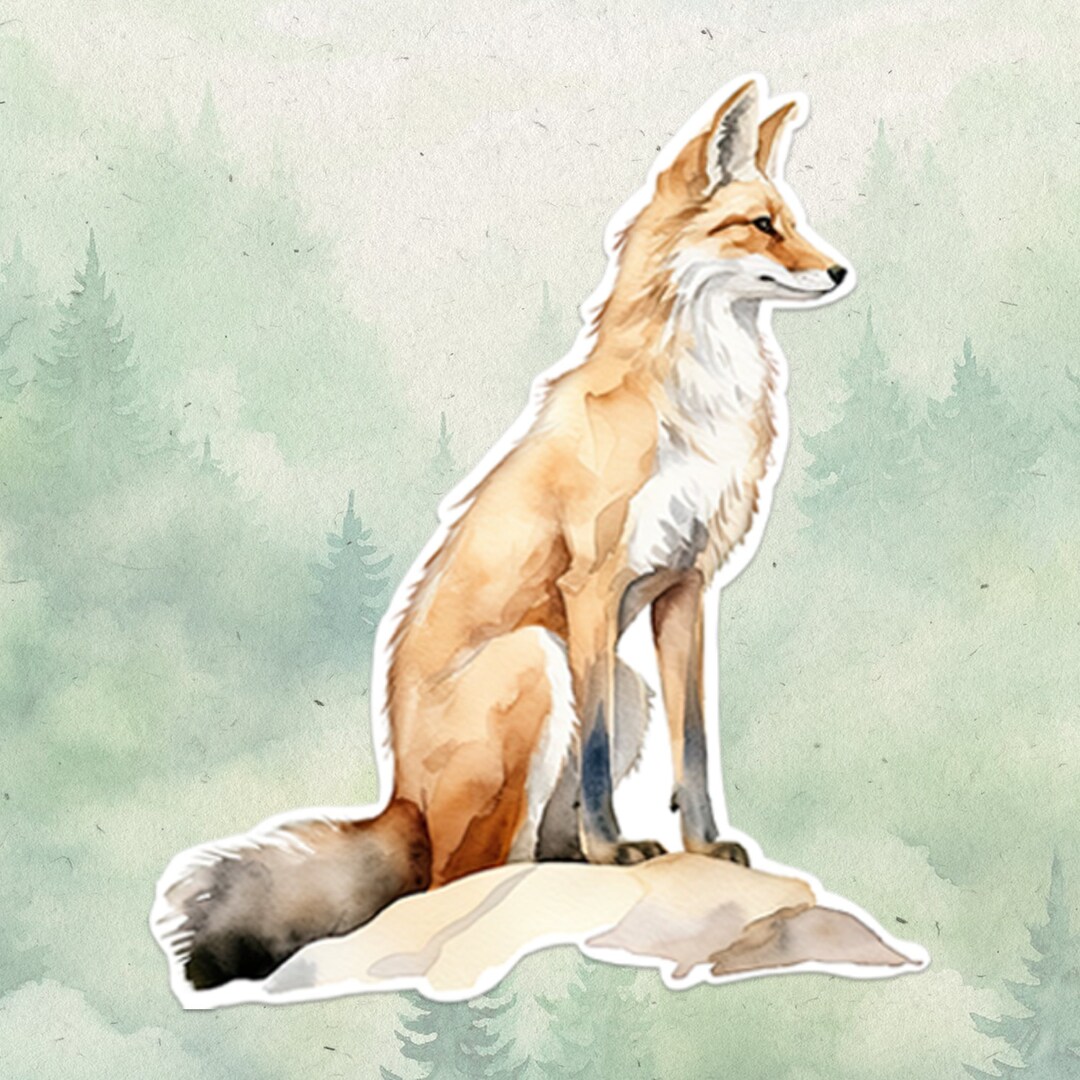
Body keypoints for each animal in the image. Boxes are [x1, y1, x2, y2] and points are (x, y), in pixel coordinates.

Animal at [154, 75, 852, 995]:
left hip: (625, 680)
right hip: (540, 659)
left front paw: (702, 847)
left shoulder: (686, 588)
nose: (841, 270)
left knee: (526, 854)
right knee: (465, 878)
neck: (697, 405)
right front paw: (616, 850)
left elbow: (695, 746)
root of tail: (401, 801)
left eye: (792, 219)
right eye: (762, 225)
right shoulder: (593, 586)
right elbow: (597, 761)